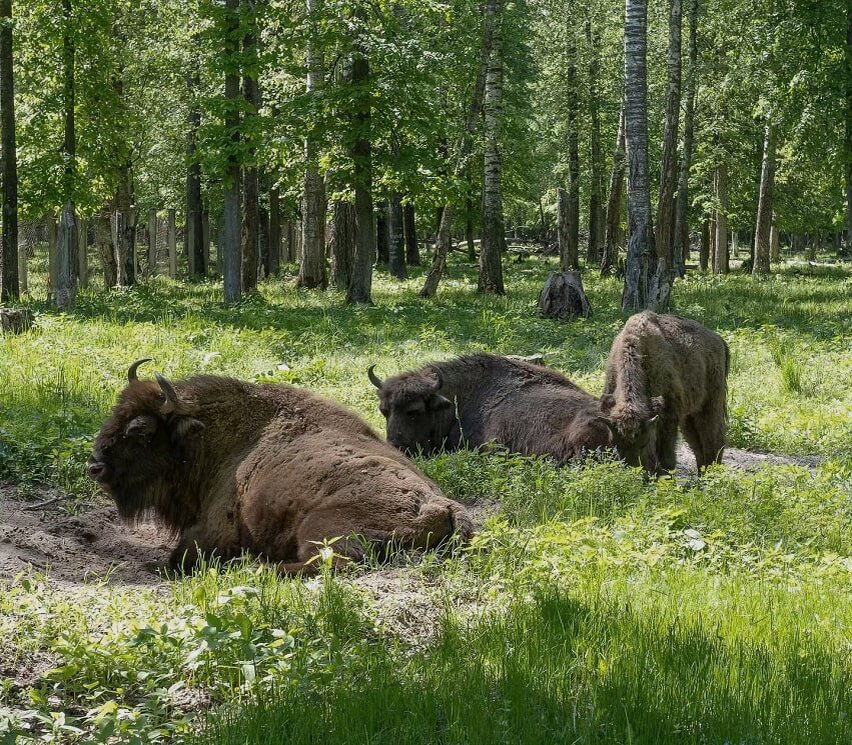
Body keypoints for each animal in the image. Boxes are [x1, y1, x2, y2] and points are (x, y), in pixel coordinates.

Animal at [86, 360, 472, 576]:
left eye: (140, 430)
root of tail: (443, 507)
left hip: (321, 525)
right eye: (114, 414)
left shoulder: (212, 532)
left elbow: (179, 558)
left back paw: (255, 567)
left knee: (327, 563)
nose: (95, 466)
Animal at [600, 310, 732, 474]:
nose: (633, 468)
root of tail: (719, 341)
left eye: (643, 443)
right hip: (689, 416)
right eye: (616, 444)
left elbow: (667, 458)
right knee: (697, 446)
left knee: (713, 439)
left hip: (710, 403)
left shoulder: (669, 418)